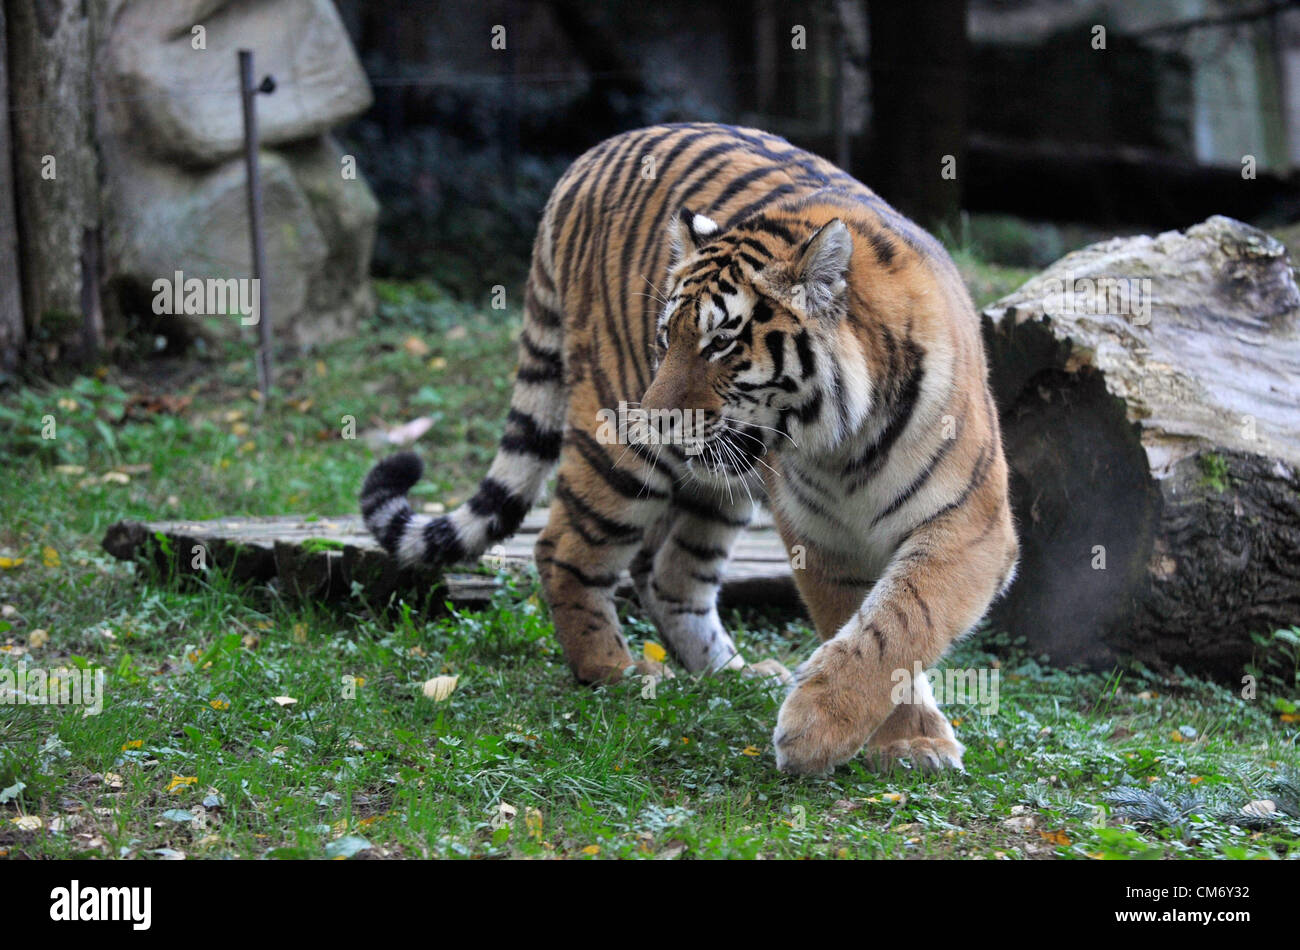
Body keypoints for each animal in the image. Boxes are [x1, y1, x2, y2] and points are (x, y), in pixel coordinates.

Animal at [360, 122, 1018, 775]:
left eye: (721, 342)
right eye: (666, 338)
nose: (650, 419)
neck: (841, 441)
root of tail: (590, 155)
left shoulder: (970, 526)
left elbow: (902, 621)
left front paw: (860, 733)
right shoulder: (823, 536)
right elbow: (864, 623)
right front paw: (852, 734)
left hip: (720, 485)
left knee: (671, 572)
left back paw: (732, 673)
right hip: (617, 450)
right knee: (564, 547)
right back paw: (618, 672)